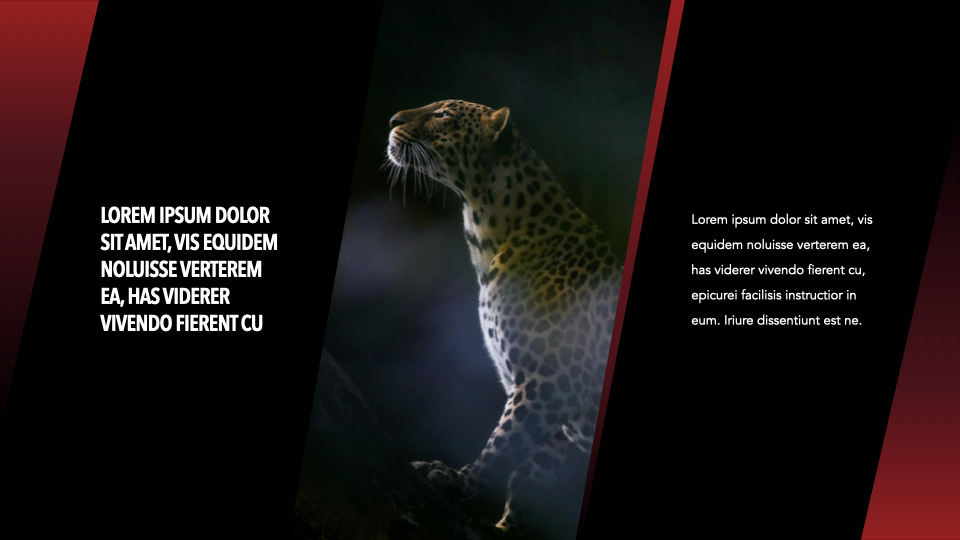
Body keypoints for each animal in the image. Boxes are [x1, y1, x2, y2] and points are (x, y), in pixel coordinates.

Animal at [385, 99, 621, 535]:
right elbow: (530, 474)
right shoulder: (546, 406)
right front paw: (508, 529)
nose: (393, 120)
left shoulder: (549, 381)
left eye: (443, 115)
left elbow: (503, 445)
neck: (486, 236)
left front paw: (459, 481)